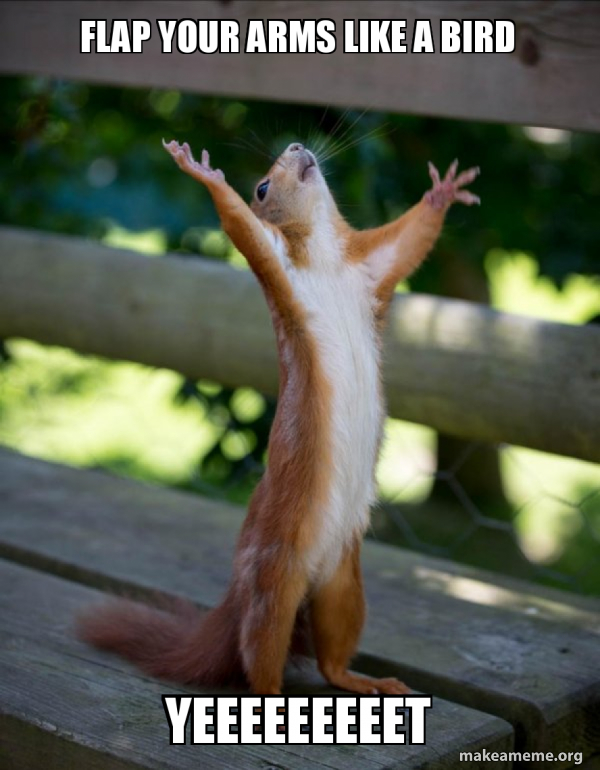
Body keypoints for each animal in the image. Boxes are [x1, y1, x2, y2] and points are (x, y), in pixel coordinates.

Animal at [78, 139, 479, 695]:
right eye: (262, 187)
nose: (296, 146)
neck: (327, 259)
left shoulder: (372, 267)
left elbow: (410, 240)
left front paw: (442, 193)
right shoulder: (277, 264)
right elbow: (240, 226)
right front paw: (203, 173)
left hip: (344, 586)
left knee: (332, 656)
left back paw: (365, 680)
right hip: (273, 583)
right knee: (260, 658)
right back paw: (276, 693)